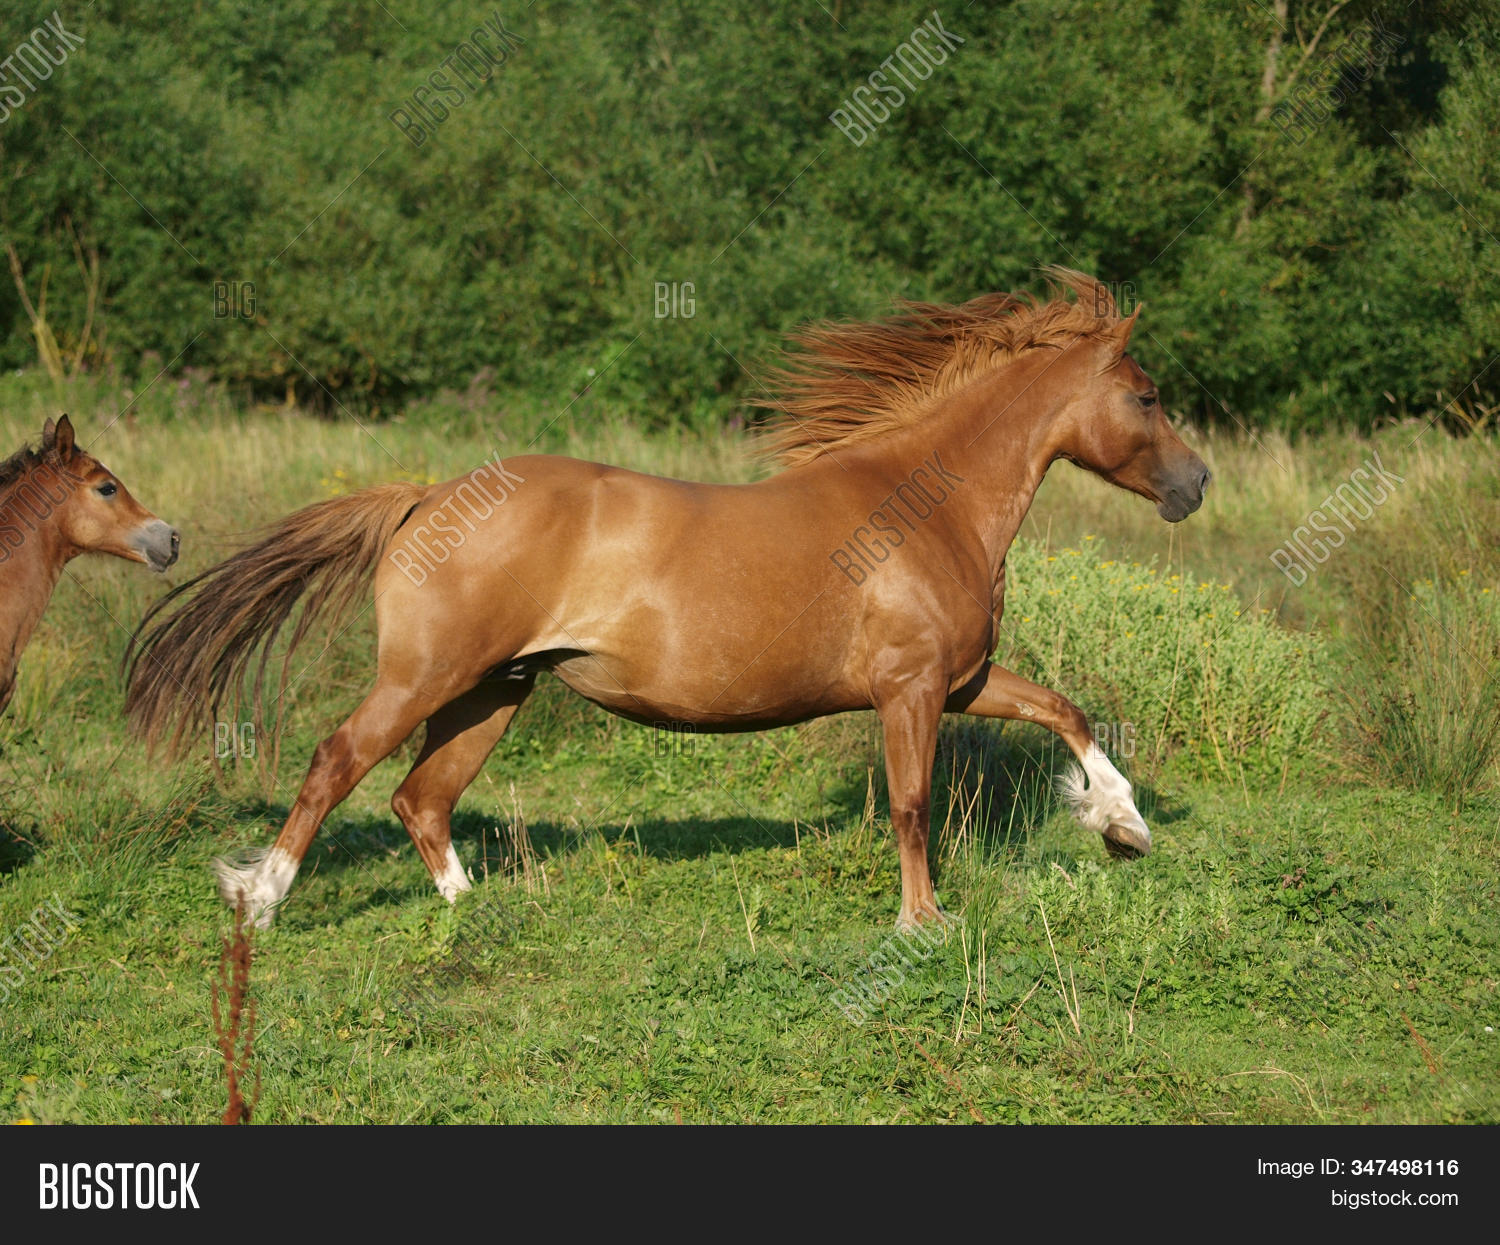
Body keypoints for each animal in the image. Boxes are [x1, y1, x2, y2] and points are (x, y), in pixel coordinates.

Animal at [124, 269, 1208, 931]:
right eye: (1147, 395)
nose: (1195, 484)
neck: (922, 500)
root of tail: (429, 497)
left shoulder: (963, 679)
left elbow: (1066, 710)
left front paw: (1123, 826)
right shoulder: (911, 687)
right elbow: (911, 804)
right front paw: (924, 920)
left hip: (495, 689)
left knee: (420, 797)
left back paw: (476, 908)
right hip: (426, 676)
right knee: (339, 762)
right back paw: (260, 899)